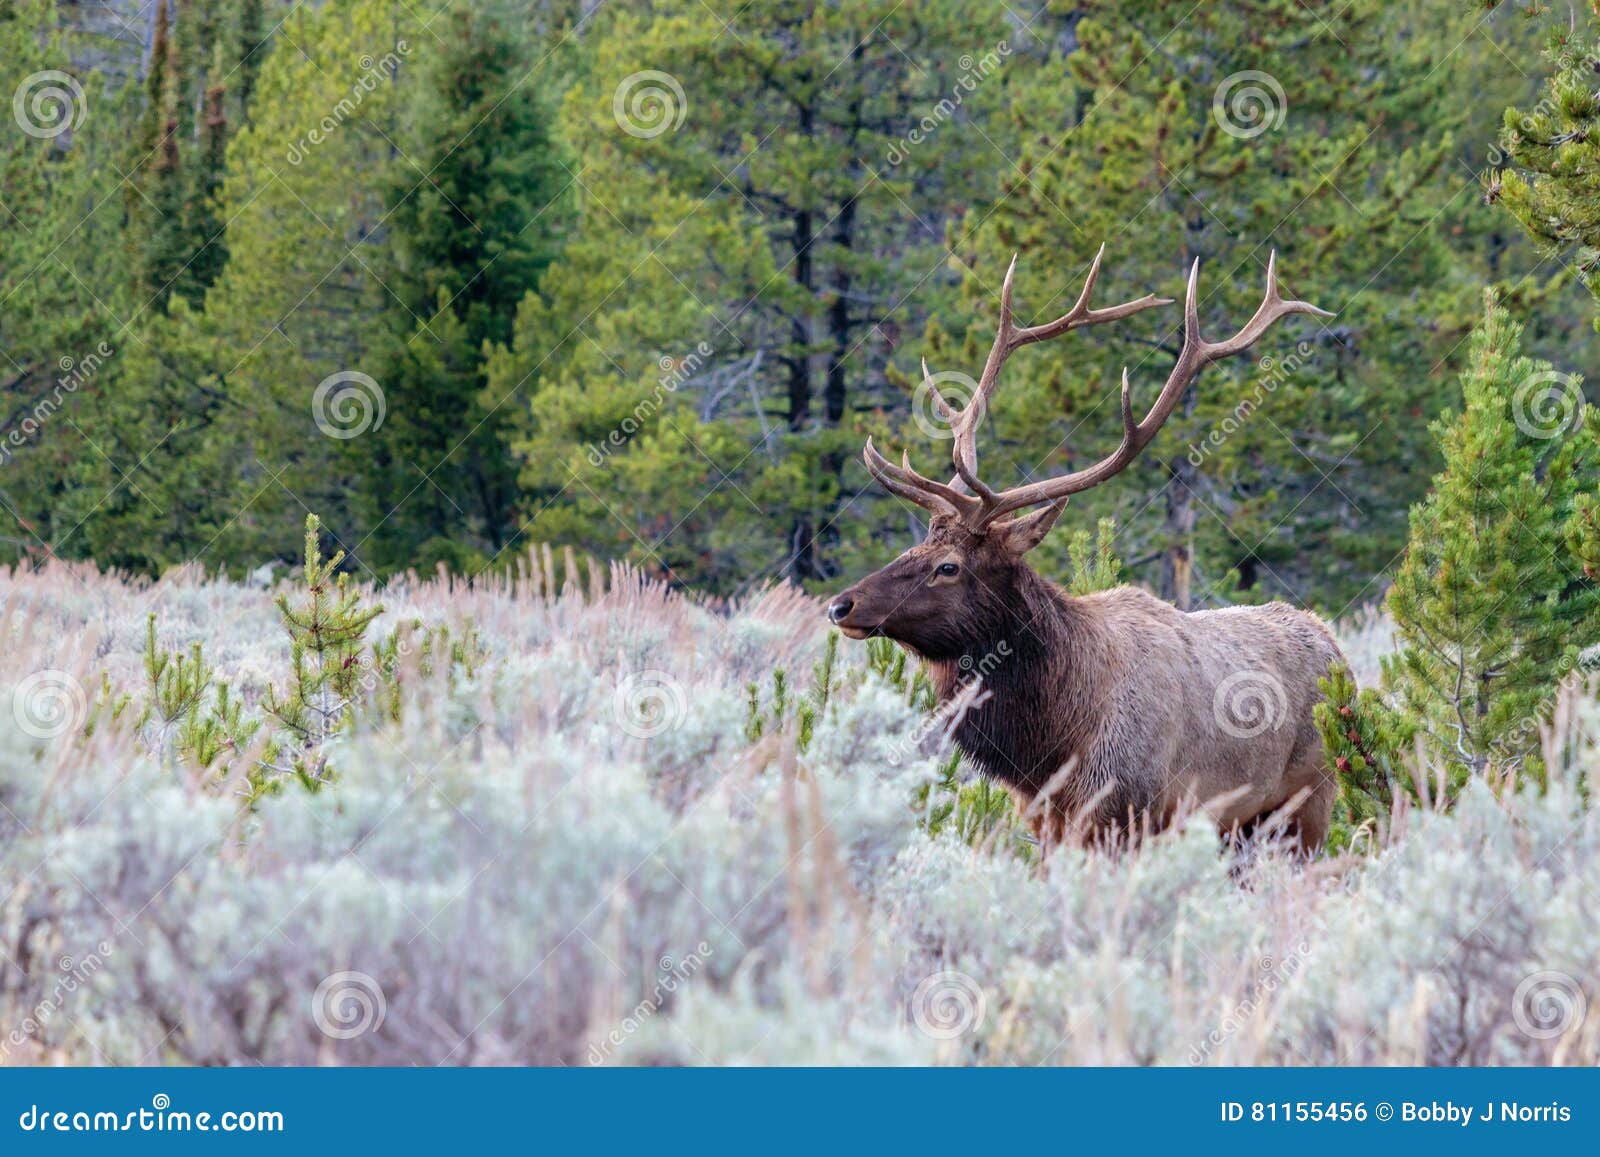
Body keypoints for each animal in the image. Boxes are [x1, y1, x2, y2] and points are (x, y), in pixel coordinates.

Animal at [827, 246, 1344, 855]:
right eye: (915, 546)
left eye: (947, 567)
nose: (842, 605)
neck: (1052, 747)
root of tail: (1338, 650)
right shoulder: (1045, 821)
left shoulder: (1134, 811)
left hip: (1308, 801)